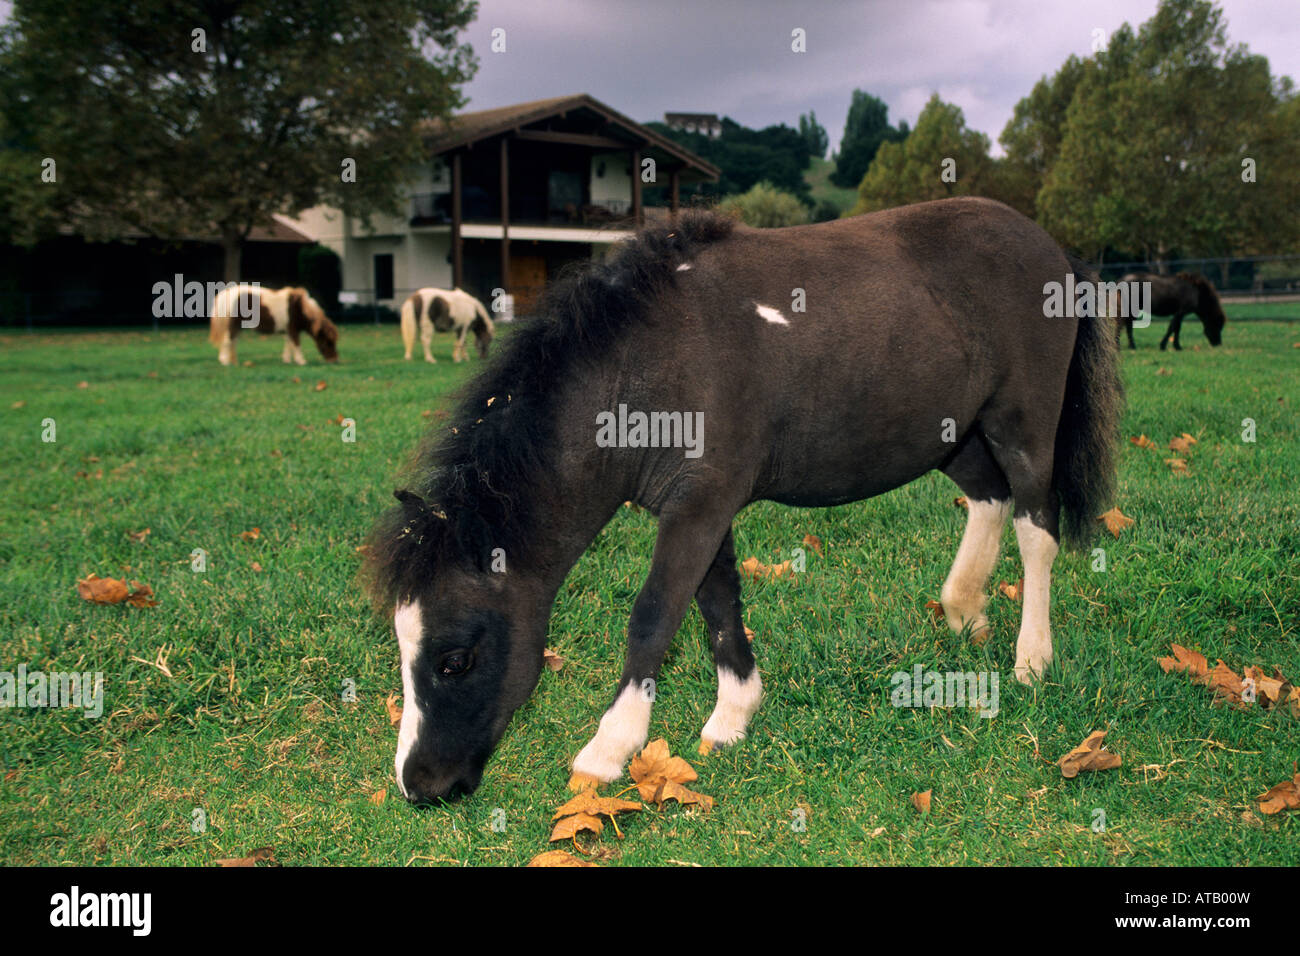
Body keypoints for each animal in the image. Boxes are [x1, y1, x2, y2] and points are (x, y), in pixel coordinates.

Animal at [208, 284, 339, 366]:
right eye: (328, 342)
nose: (334, 360)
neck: (300, 307)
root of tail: (227, 293)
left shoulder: (289, 330)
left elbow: (289, 344)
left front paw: (287, 360)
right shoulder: (293, 329)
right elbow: (296, 344)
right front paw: (301, 361)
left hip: (237, 327)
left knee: (233, 342)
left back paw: (234, 362)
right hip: (232, 325)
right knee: (227, 341)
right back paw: (225, 362)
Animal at [363, 197, 1123, 804]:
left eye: (455, 660)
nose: (419, 785)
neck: (644, 365)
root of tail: (1052, 247)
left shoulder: (699, 508)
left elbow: (655, 615)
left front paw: (610, 748)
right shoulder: (704, 506)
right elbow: (716, 602)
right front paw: (734, 715)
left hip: (1021, 423)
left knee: (1036, 527)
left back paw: (1031, 658)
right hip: (952, 433)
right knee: (989, 500)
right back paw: (965, 610)